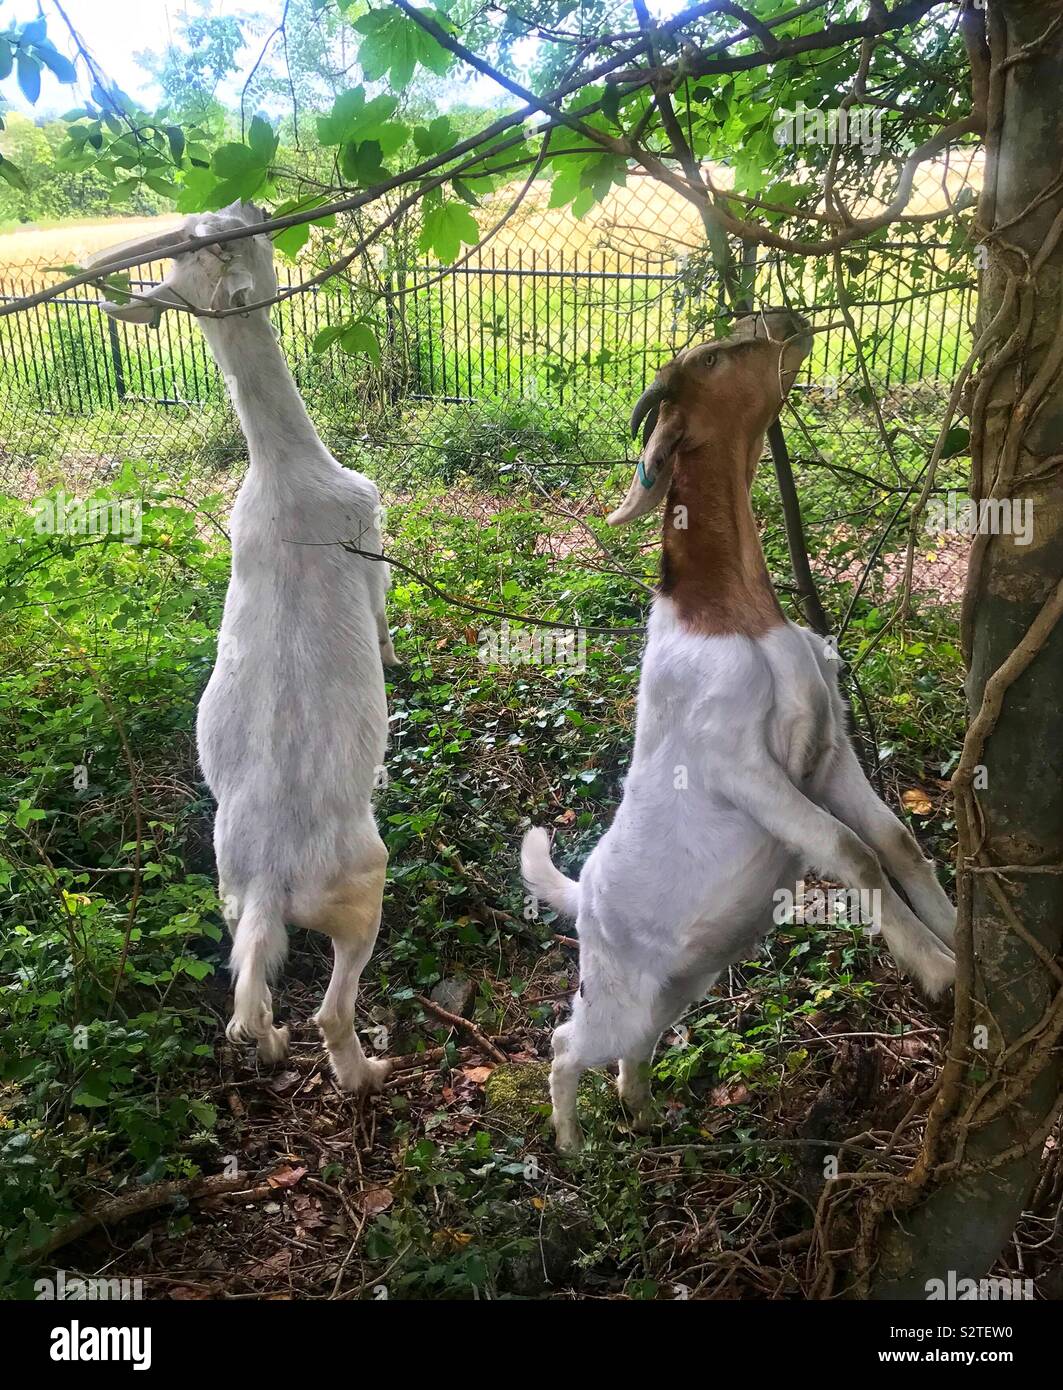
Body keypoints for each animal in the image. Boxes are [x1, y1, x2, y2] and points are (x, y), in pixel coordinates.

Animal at [88, 203, 395, 1093]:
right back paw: (366, 1071)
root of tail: (267, 886)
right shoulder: (369, 530)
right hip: (361, 886)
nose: (257, 208)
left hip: (227, 892)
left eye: (209, 225)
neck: (284, 472)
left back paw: (272, 1045)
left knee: (246, 998)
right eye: (232, 233)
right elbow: (385, 620)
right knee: (332, 1008)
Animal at [522, 310, 955, 1153]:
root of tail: (582, 896)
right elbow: (850, 852)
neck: (732, 612)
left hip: (677, 986)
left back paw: (641, 1111)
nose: (791, 322)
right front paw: (937, 967)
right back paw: (570, 1144)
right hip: (615, 992)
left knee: (633, 1049)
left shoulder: (828, 753)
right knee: (563, 1045)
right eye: (713, 359)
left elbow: (894, 842)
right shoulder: (741, 765)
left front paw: (960, 931)